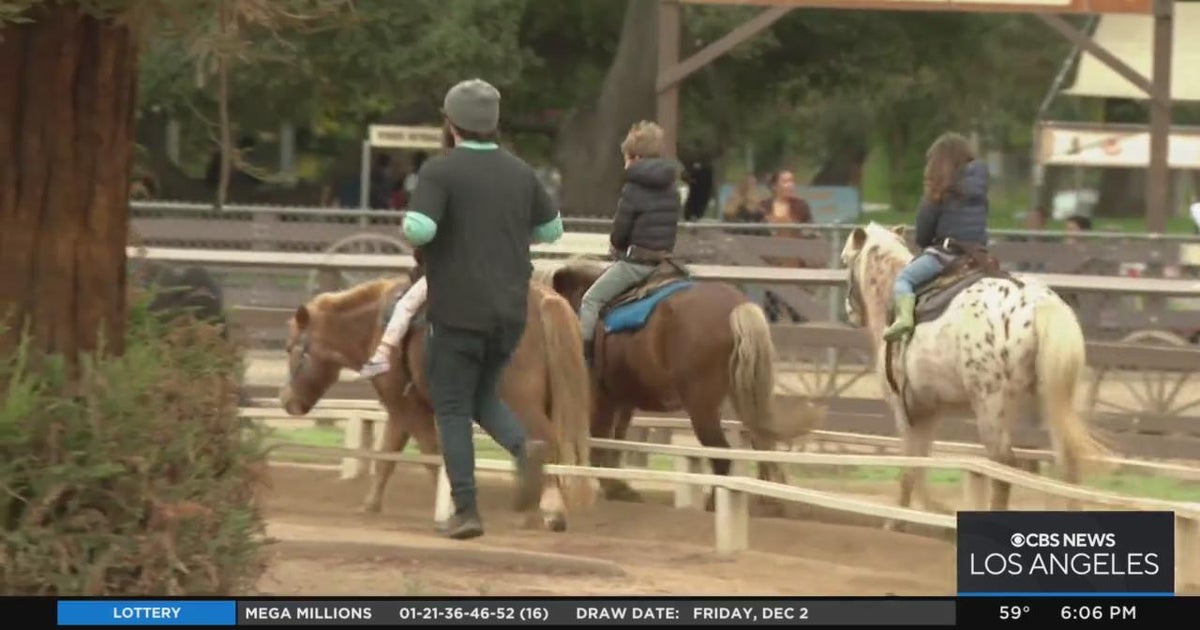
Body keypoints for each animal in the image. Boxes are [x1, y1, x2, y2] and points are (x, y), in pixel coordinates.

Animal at [278, 275, 594, 532]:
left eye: (290, 348)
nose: (286, 401)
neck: (375, 327)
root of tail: (546, 300)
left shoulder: (407, 408)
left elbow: (428, 456)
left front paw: (450, 509)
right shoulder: (401, 410)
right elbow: (387, 457)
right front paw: (371, 504)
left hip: (523, 404)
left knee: (546, 442)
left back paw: (551, 510)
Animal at [539, 259, 824, 507]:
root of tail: (737, 308)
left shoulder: (600, 399)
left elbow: (599, 443)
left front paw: (613, 488)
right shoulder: (622, 402)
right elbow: (615, 444)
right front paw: (619, 488)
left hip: (702, 405)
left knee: (722, 453)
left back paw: (714, 502)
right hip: (744, 391)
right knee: (759, 441)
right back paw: (769, 503)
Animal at [839, 223, 1111, 512]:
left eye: (845, 261)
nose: (849, 311)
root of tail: (1040, 305)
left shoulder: (907, 412)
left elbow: (908, 473)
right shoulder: (929, 412)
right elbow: (919, 471)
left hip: (991, 406)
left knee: (1004, 467)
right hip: (1050, 399)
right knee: (1066, 465)